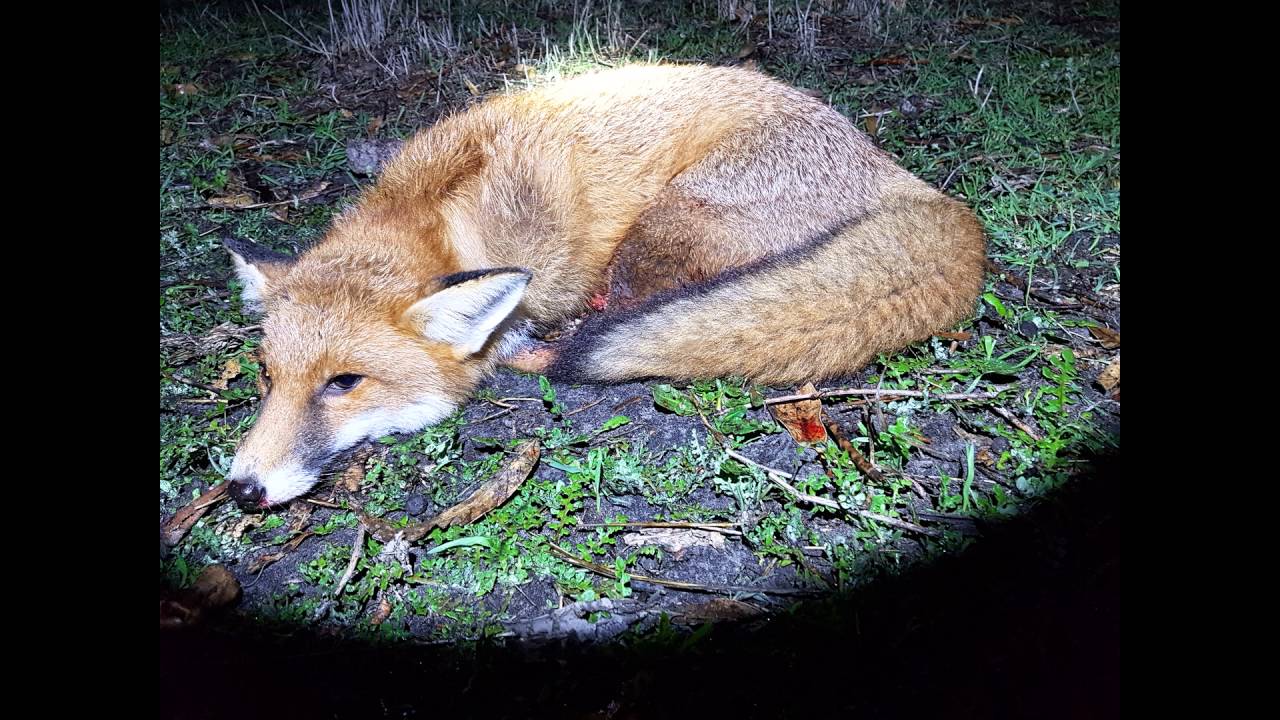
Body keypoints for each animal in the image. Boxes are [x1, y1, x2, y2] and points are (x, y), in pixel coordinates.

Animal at [221, 64, 986, 509]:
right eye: (266, 377)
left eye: (344, 383)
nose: (243, 489)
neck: (445, 217)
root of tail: (903, 175)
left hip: (662, 228)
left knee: (632, 317)